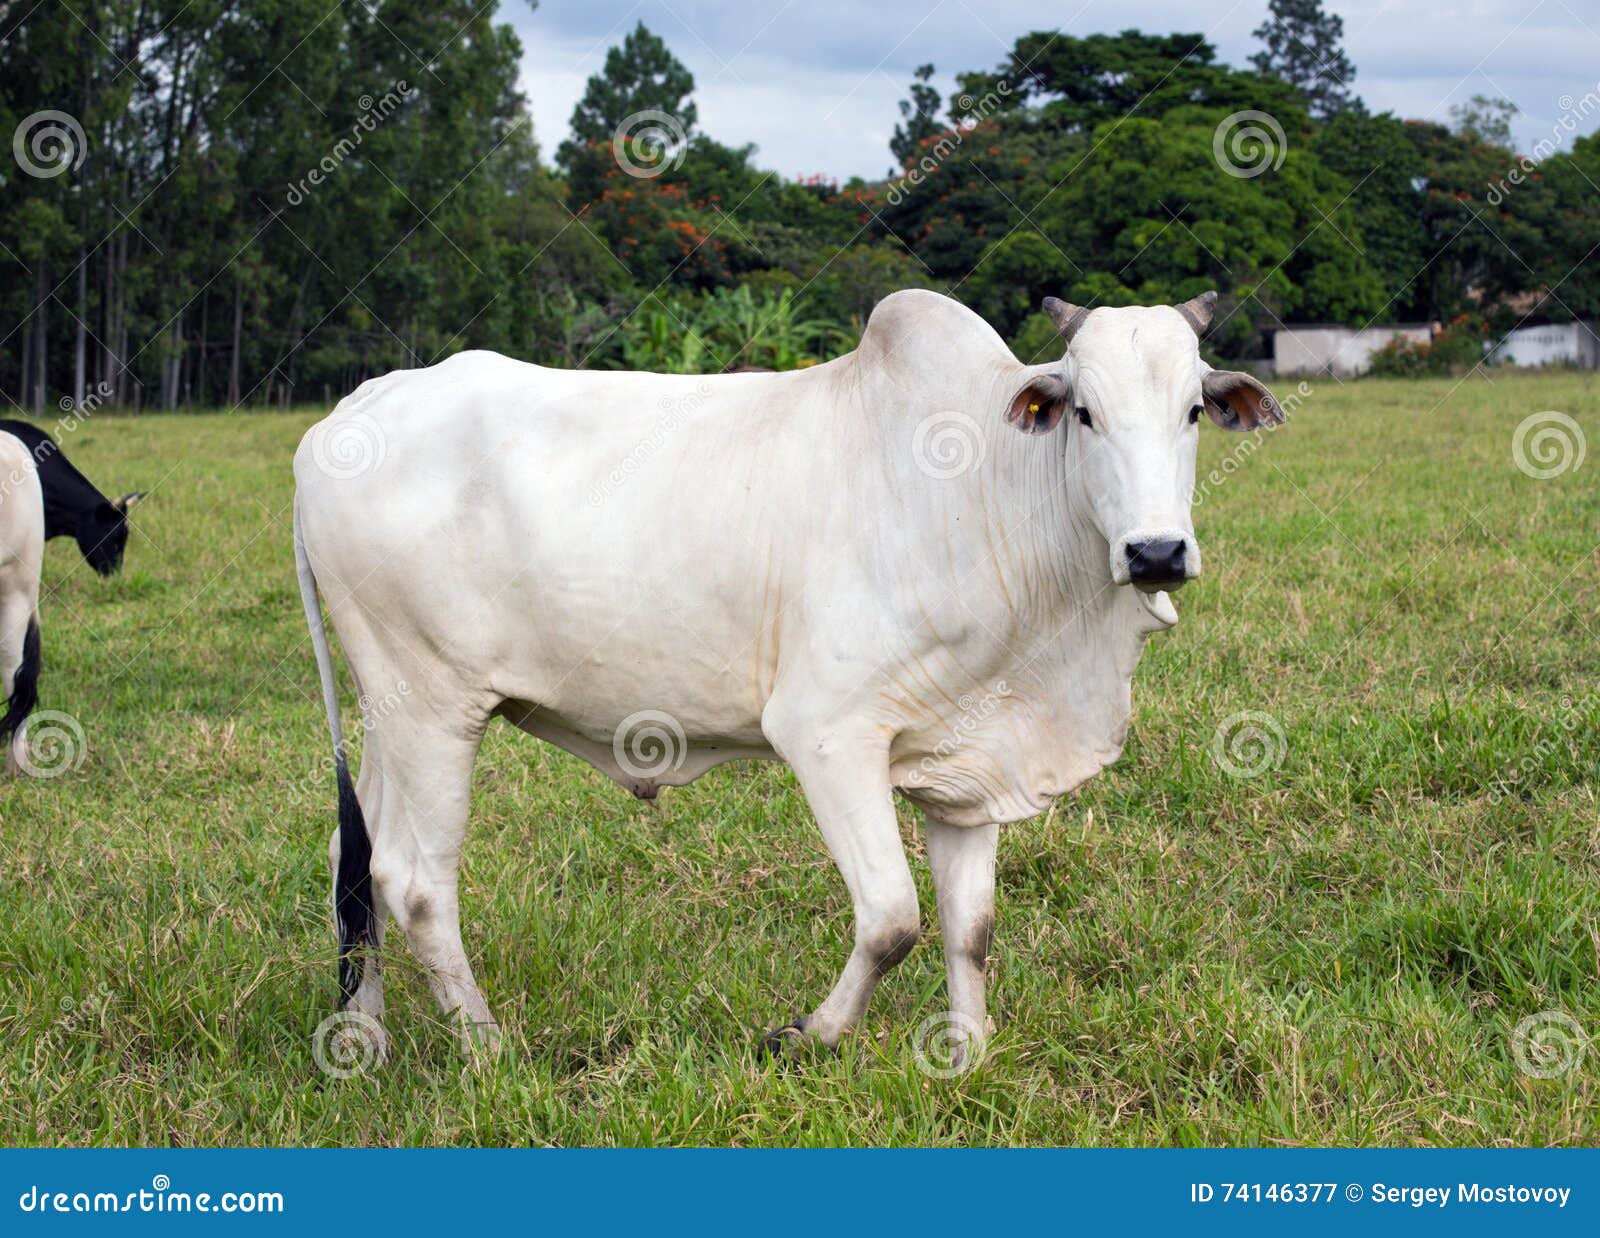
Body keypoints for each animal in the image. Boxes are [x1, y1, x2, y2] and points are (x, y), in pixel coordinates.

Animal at [294, 288, 1282, 1066]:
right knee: (416, 883)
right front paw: (810, 1033)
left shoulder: (968, 764)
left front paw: (965, 1052)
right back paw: (486, 1047)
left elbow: (970, 928)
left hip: (390, 711)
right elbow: (892, 918)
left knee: (357, 857)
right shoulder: (827, 731)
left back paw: (364, 1039)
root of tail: (342, 422)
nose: (1155, 552)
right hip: (434, 709)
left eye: (1194, 411)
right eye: (1085, 414)